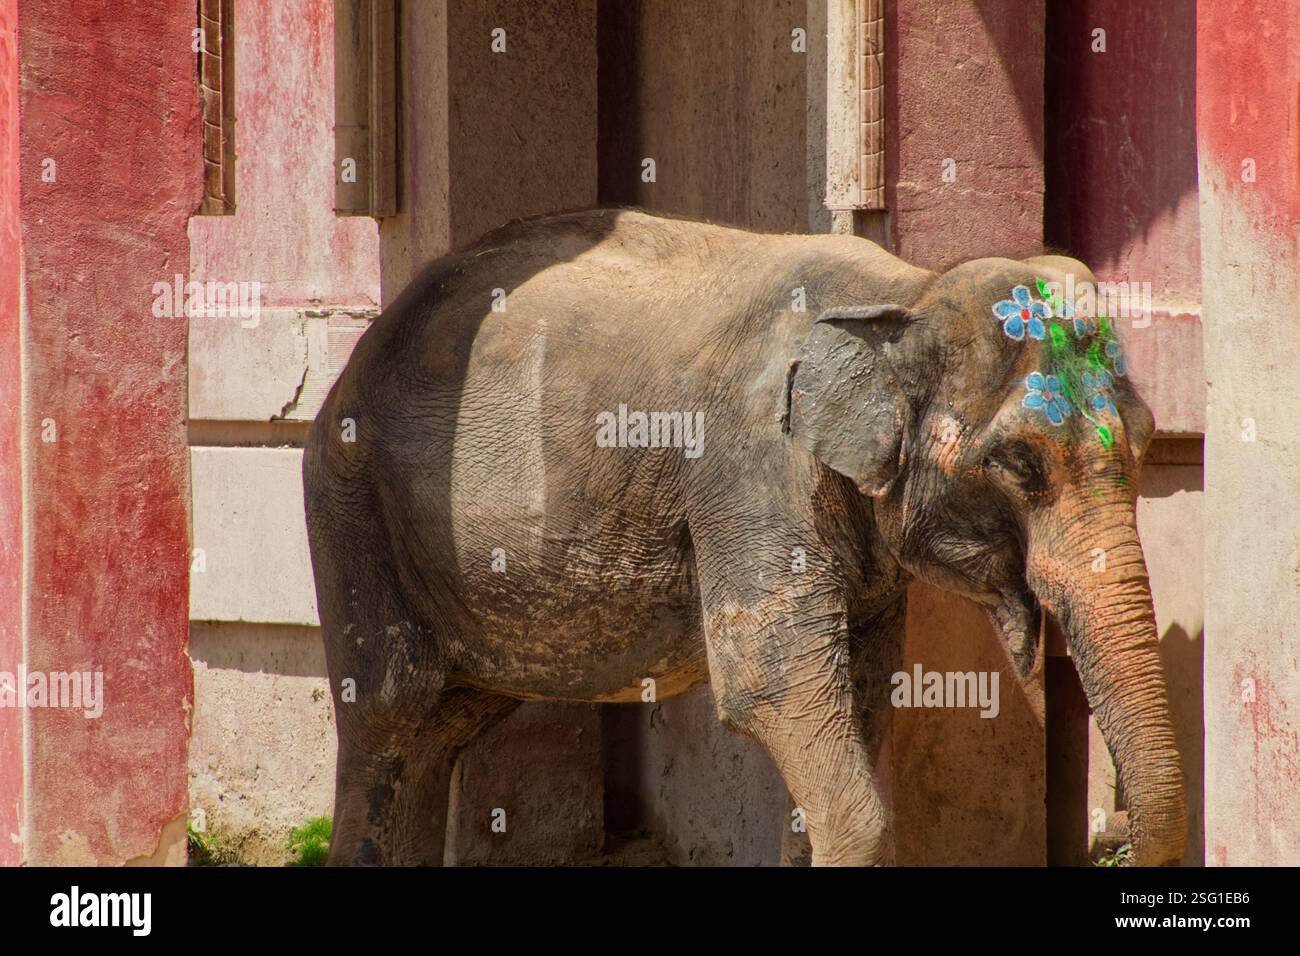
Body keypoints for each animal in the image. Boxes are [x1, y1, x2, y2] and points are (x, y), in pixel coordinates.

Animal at [303, 207, 1186, 867]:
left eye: (1149, 441)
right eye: (1016, 463)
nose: (1110, 832)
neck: (905, 291)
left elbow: (860, 691)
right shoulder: (748, 473)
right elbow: (775, 684)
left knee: (437, 731)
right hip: (348, 507)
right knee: (389, 713)